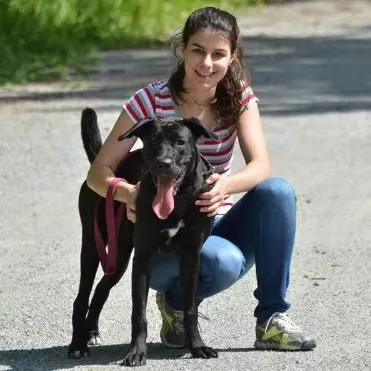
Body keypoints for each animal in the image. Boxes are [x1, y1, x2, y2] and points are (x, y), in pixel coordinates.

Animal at [68, 109, 219, 368]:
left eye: (180, 142)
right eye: (153, 142)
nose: (163, 163)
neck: (177, 201)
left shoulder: (192, 256)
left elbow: (190, 308)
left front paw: (197, 346)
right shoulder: (142, 258)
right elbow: (138, 313)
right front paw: (136, 353)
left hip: (119, 257)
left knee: (101, 288)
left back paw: (92, 331)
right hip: (93, 245)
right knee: (83, 296)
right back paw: (78, 343)